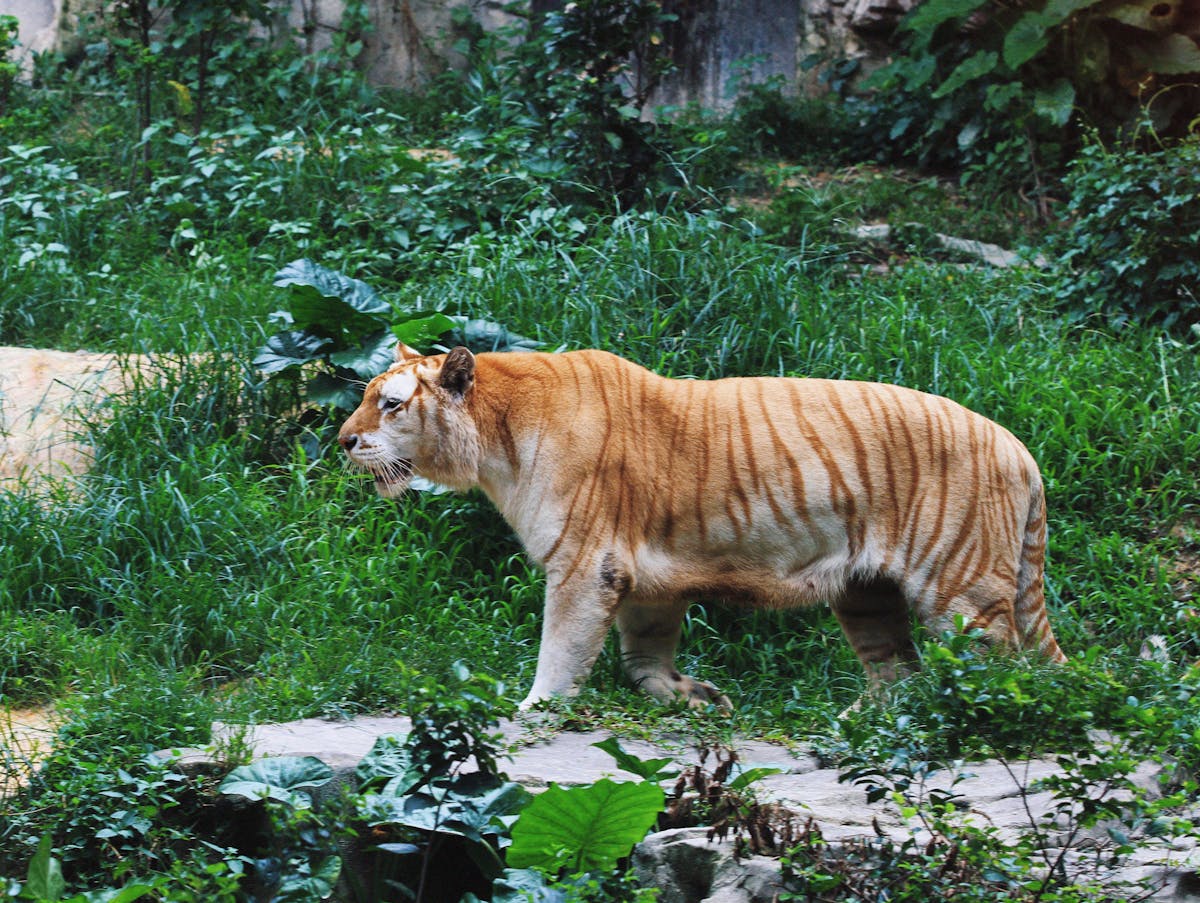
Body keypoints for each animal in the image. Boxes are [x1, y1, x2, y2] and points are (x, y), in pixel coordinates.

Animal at [337, 344, 1066, 711]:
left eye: (390, 404)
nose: (343, 441)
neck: (496, 443)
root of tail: (1022, 450)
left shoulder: (584, 562)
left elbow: (562, 647)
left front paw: (534, 708)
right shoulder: (644, 574)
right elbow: (643, 650)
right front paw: (686, 693)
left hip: (960, 591)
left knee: (1000, 666)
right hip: (867, 596)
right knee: (900, 674)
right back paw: (865, 724)